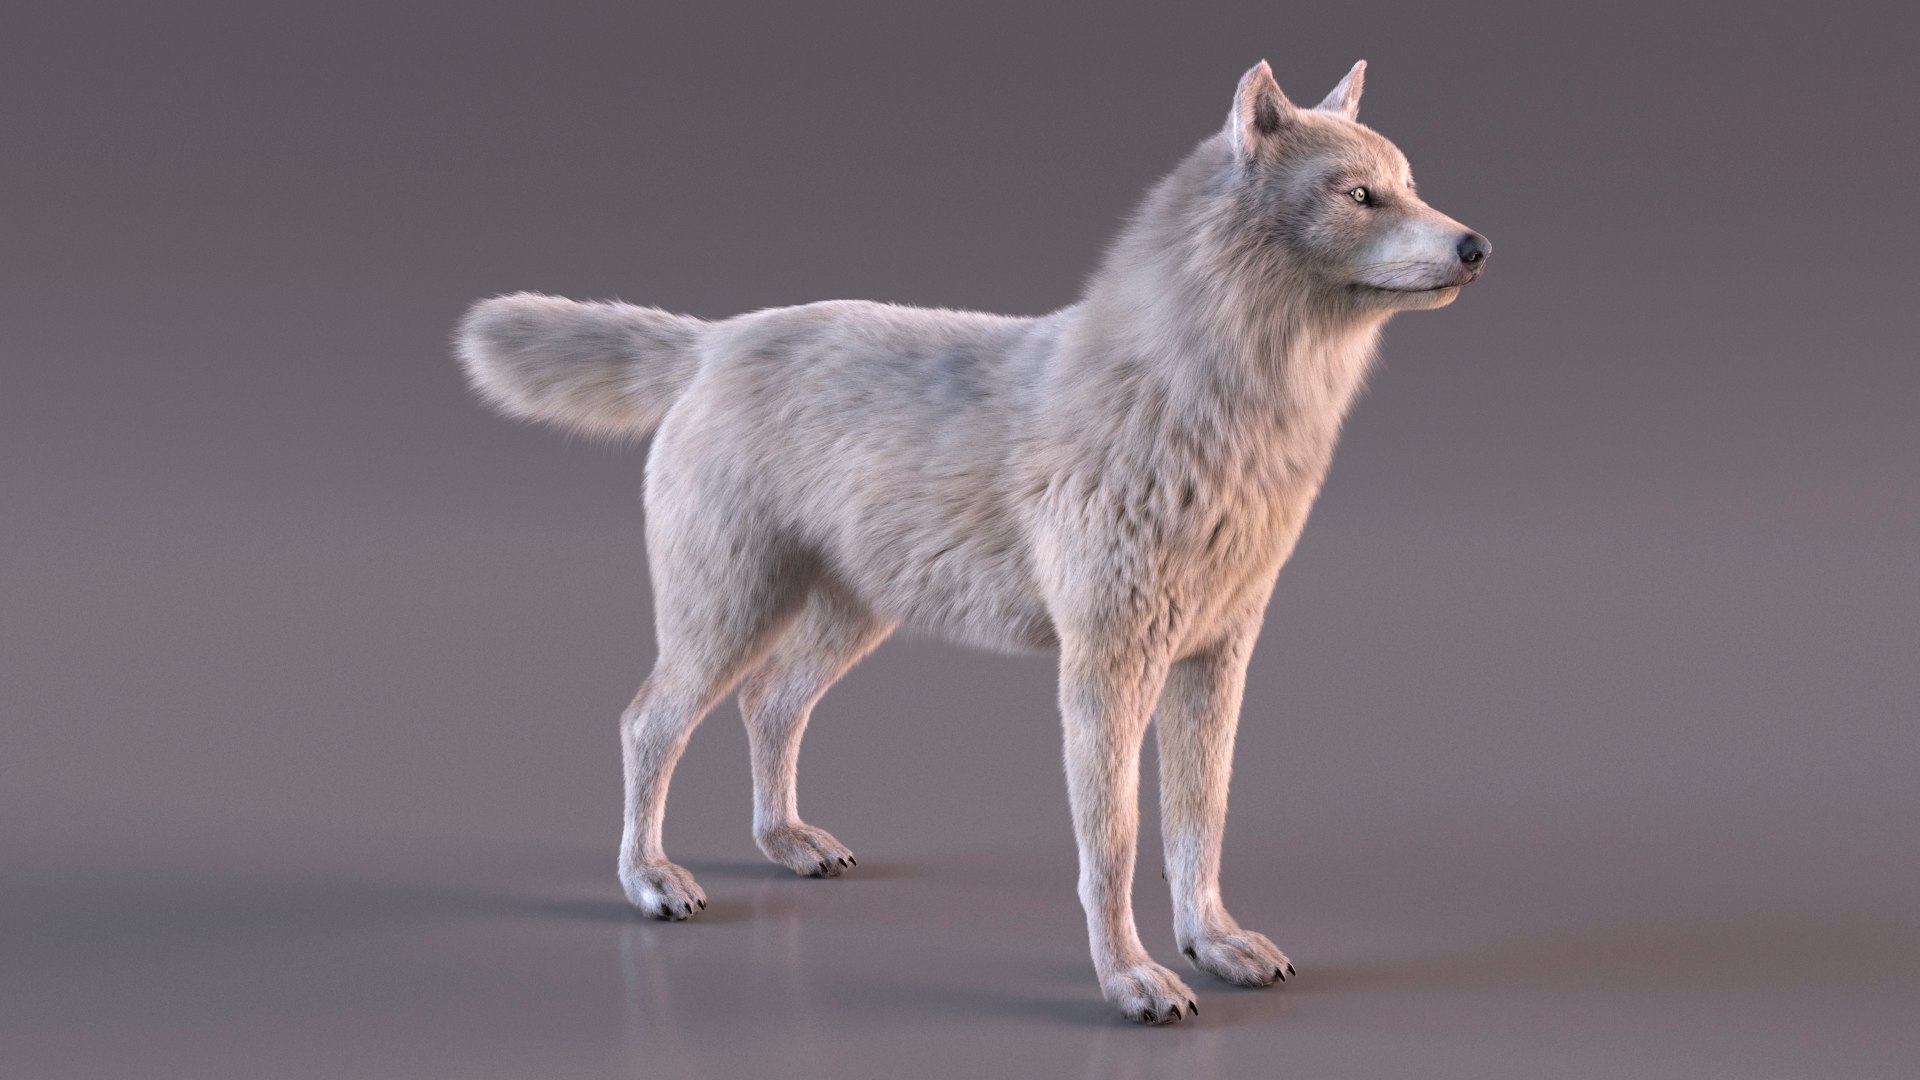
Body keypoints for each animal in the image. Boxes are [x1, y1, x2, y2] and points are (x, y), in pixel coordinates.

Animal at [456, 59, 1488, 1024]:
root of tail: (715, 341)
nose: (1478, 245)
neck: (1208, 406)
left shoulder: (1216, 656)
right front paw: (1131, 979)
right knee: (649, 723)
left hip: (845, 622)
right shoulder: (1105, 667)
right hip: (727, 618)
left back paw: (788, 844)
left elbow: (1201, 819)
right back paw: (649, 881)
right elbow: (1115, 843)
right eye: (1360, 195)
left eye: (1409, 183)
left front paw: (1214, 943)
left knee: (768, 704)